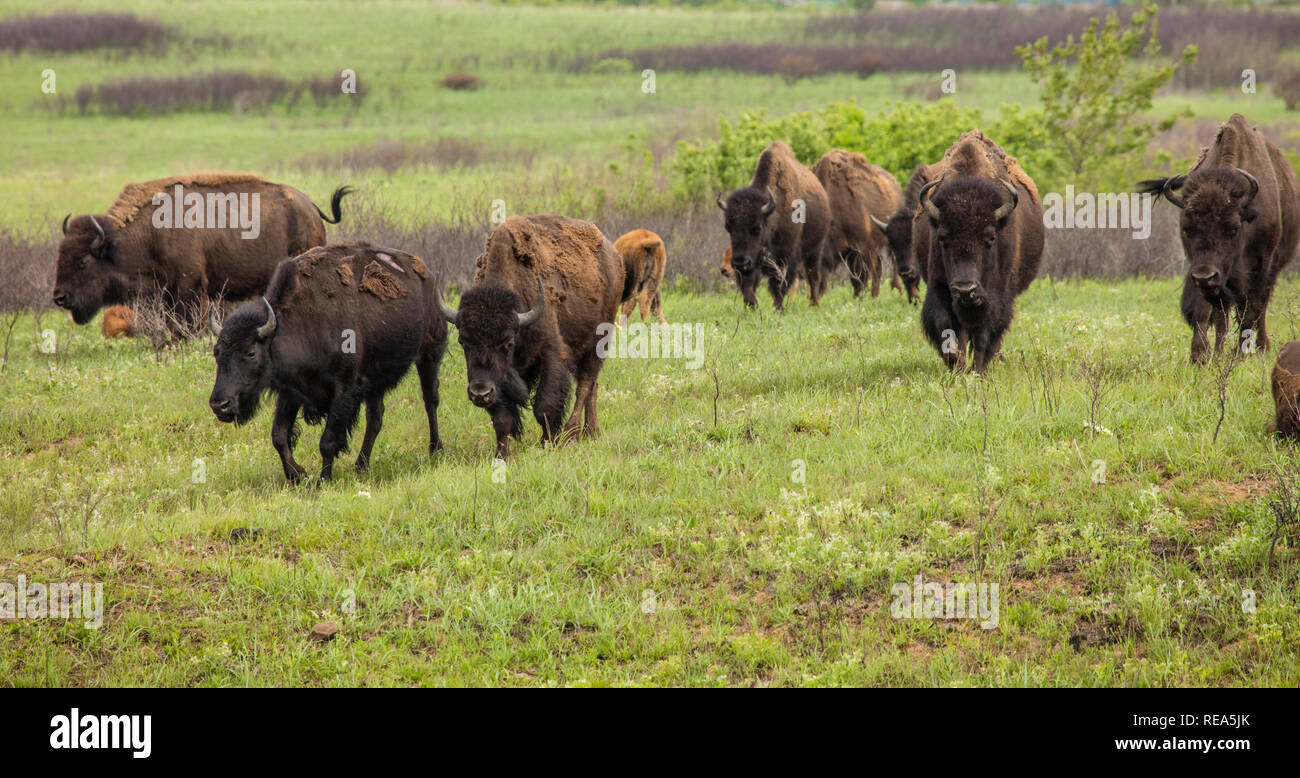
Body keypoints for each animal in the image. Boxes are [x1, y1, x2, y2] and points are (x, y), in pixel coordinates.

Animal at [208, 243, 445, 483]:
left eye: (251, 353)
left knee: (430, 401)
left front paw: (323, 481)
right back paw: (361, 465)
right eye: (216, 353)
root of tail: (426, 273)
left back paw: (435, 449)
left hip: (430, 354)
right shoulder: (292, 392)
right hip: (376, 380)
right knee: (375, 418)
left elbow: (328, 441)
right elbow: (279, 436)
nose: (220, 405)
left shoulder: (344, 389)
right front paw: (297, 475)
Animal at [436, 215, 626, 458]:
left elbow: (545, 406)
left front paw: (549, 443)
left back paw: (572, 434)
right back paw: (591, 433)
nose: (480, 393)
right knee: (592, 386)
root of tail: (613, 255)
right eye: (463, 341)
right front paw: (502, 456)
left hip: (600, 340)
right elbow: (502, 418)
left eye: (507, 342)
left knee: (585, 384)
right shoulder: (500, 380)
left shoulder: (551, 354)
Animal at [717, 141, 830, 309]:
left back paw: (814, 304)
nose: (740, 261)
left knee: (813, 276)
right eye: (728, 228)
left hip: (816, 248)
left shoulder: (786, 256)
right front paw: (752, 306)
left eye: (757, 228)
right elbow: (749, 285)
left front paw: (778, 308)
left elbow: (779, 284)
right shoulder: (753, 261)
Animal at [915, 132, 1044, 373]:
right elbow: (945, 326)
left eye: (991, 237)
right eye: (942, 238)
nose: (966, 290)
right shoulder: (939, 287)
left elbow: (983, 336)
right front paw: (955, 363)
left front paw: (978, 371)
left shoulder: (995, 295)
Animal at [1138, 114, 1300, 363]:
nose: (1205, 277)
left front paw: (1240, 353)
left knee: (1259, 305)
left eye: (1233, 228)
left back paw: (1261, 347)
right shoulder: (1201, 270)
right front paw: (1201, 356)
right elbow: (1207, 311)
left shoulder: (1260, 263)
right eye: (1187, 229)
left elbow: (1250, 307)